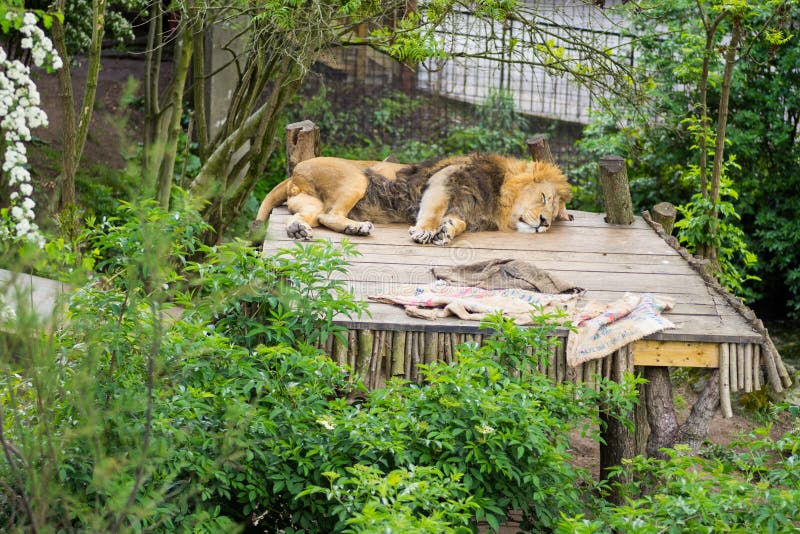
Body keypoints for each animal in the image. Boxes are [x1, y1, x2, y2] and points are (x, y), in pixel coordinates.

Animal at [253, 154, 573, 246]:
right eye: (544, 196)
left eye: (554, 212)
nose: (544, 223)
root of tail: (296, 170)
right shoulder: (446, 178)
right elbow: (432, 209)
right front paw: (426, 231)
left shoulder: (465, 211)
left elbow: (456, 222)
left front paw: (446, 232)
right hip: (357, 179)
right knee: (327, 215)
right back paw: (357, 227)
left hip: (306, 201)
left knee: (313, 215)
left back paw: (303, 229)